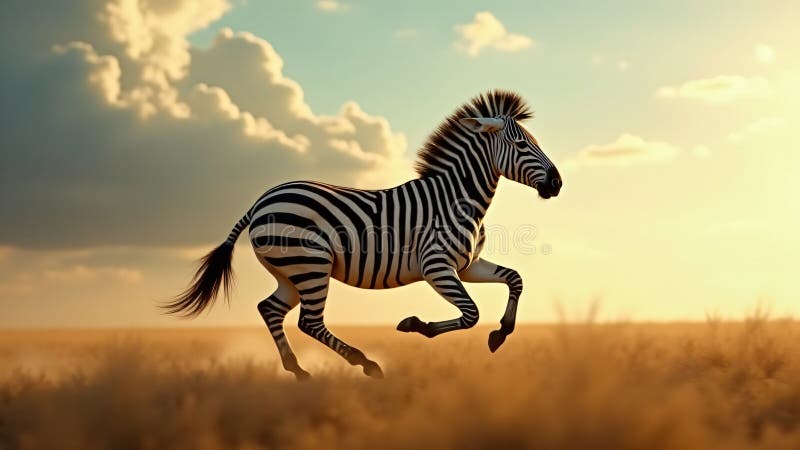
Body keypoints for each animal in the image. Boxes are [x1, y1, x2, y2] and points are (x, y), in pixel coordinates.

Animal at [165, 90, 562, 380]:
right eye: (522, 145)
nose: (557, 183)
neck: (454, 197)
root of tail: (261, 200)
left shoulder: (467, 266)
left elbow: (515, 279)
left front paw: (500, 334)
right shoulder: (437, 266)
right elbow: (471, 315)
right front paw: (415, 325)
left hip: (290, 273)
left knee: (270, 308)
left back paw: (299, 371)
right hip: (310, 265)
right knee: (309, 322)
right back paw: (366, 364)